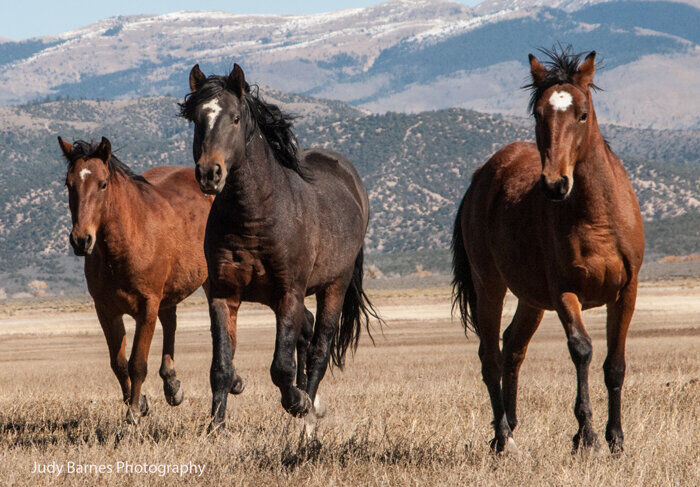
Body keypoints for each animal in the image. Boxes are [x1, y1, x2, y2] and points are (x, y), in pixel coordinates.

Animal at [57, 137, 220, 424]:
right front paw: (140, 402)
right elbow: (119, 364)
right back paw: (172, 385)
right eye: (69, 184)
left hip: (208, 282)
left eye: (103, 184)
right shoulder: (106, 311)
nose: (81, 240)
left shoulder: (147, 307)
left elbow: (137, 363)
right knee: (171, 323)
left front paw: (133, 412)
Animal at [179, 64, 380, 432]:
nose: (210, 173)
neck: (255, 214)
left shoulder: (289, 292)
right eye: (197, 119)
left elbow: (281, 366)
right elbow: (221, 366)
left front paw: (297, 402)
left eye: (235, 118)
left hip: (335, 285)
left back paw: (309, 409)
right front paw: (215, 426)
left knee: (319, 348)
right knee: (307, 331)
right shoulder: (224, 294)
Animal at [451, 48, 644, 454]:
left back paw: (510, 425)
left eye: (582, 113)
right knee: (490, 356)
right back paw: (502, 438)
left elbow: (615, 364)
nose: (555, 184)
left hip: (530, 299)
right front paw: (585, 435)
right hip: (490, 285)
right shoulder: (564, 292)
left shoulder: (627, 291)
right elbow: (582, 350)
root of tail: (481, 177)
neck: (596, 218)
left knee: (513, 347)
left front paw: (616, 439)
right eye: (538, 113)